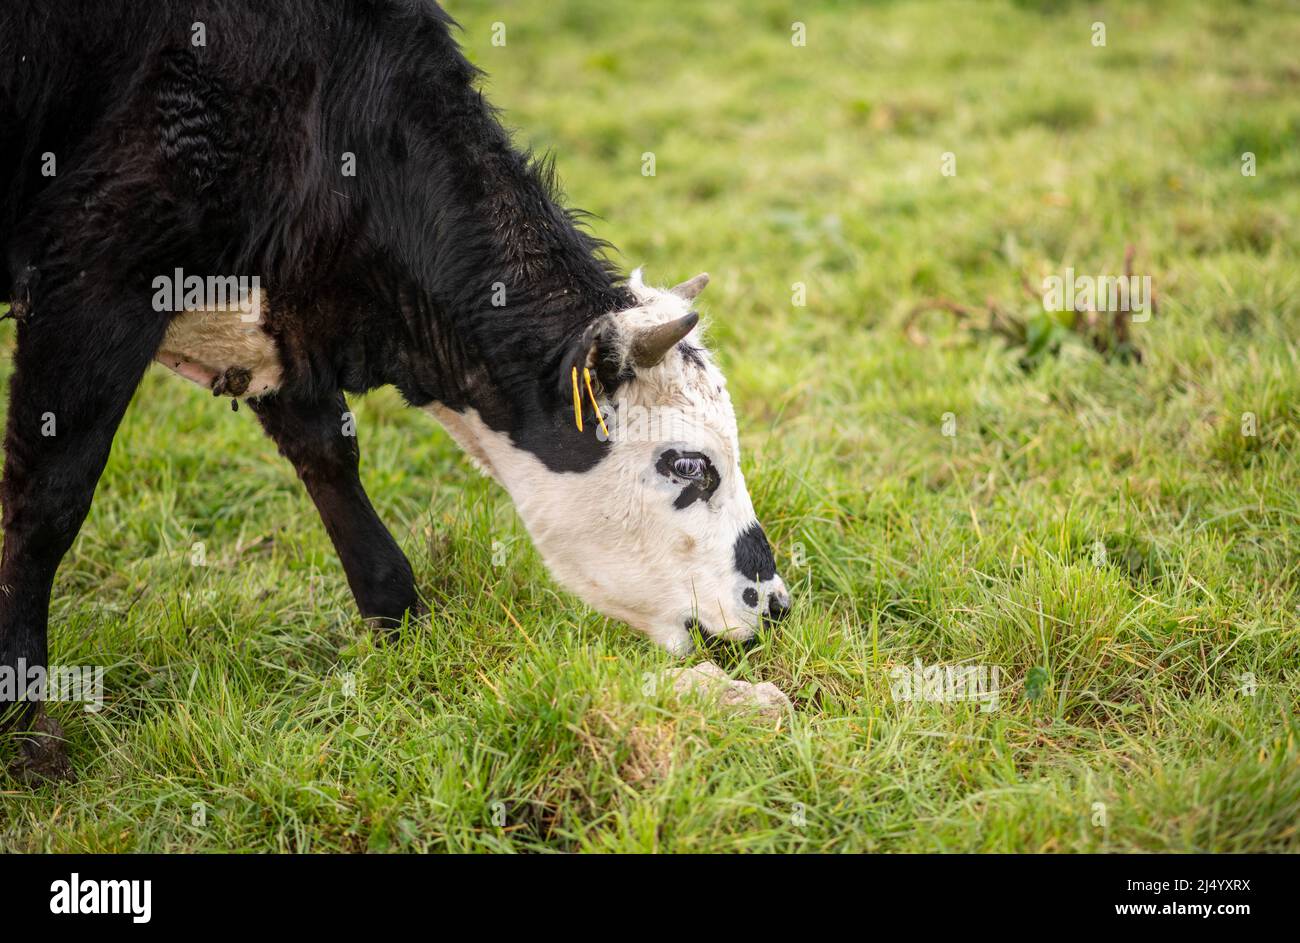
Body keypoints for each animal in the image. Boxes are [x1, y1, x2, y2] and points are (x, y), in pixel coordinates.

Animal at [0, 0, 790, 781]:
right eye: (688, 464)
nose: (777, 604)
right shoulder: (98, 279)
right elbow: (48, 501)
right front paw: (22, 717)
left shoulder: (287, 325)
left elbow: (329, 455)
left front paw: (399, 621)